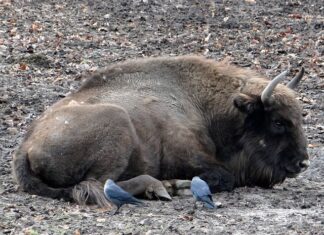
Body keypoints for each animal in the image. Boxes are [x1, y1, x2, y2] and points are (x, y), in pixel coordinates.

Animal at [12, 56, 310, 207]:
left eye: (299, 117)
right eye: (278, 122)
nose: (302, 163)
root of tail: (24, 148)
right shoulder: (192, 159)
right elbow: (223, 177)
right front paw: (178, 186)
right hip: (118, 123)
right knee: (99, 185)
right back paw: (161, 187)